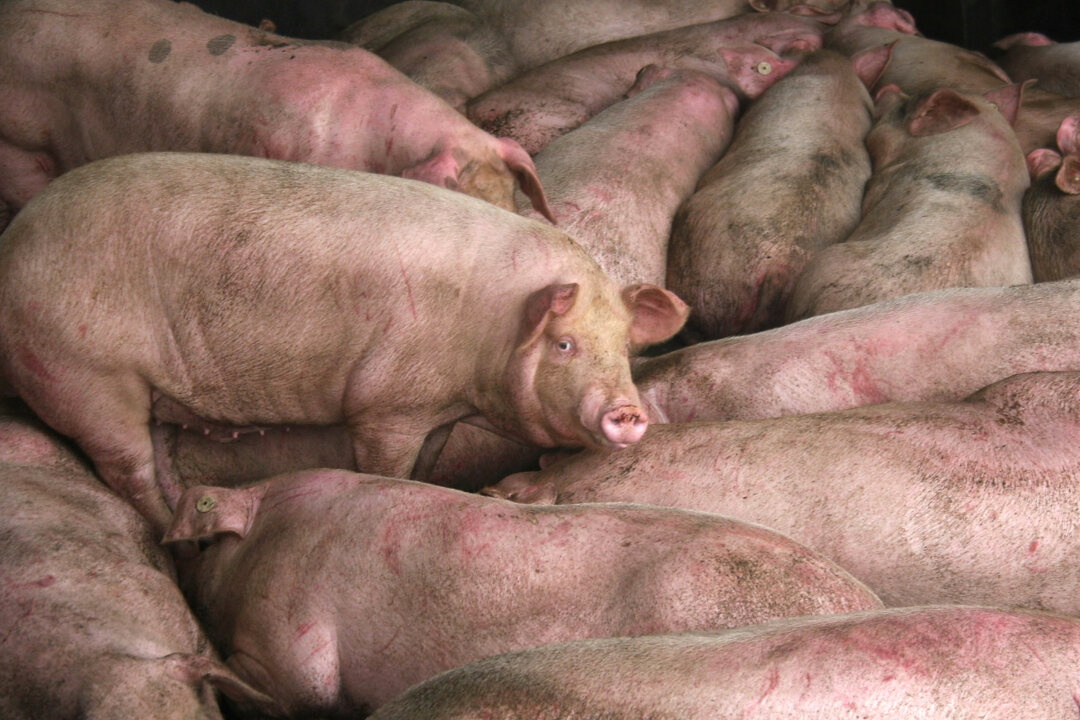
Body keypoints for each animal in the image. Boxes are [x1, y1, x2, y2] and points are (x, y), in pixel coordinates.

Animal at [0, 152, 688, 533]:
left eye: (624, 346)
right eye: (565, 345)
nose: (629, 411)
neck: (490, 329)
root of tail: (13, 242)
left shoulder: (431, 408)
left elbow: (427, 461)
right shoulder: (385, 404)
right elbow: (387, 465)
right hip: (85, 372)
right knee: (125, 466)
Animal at [163, 469, 882, 717]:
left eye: (199, 546)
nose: (169, 552)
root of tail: (869, 603)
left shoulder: (292, 633)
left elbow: (296, 690)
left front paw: (190, 664)